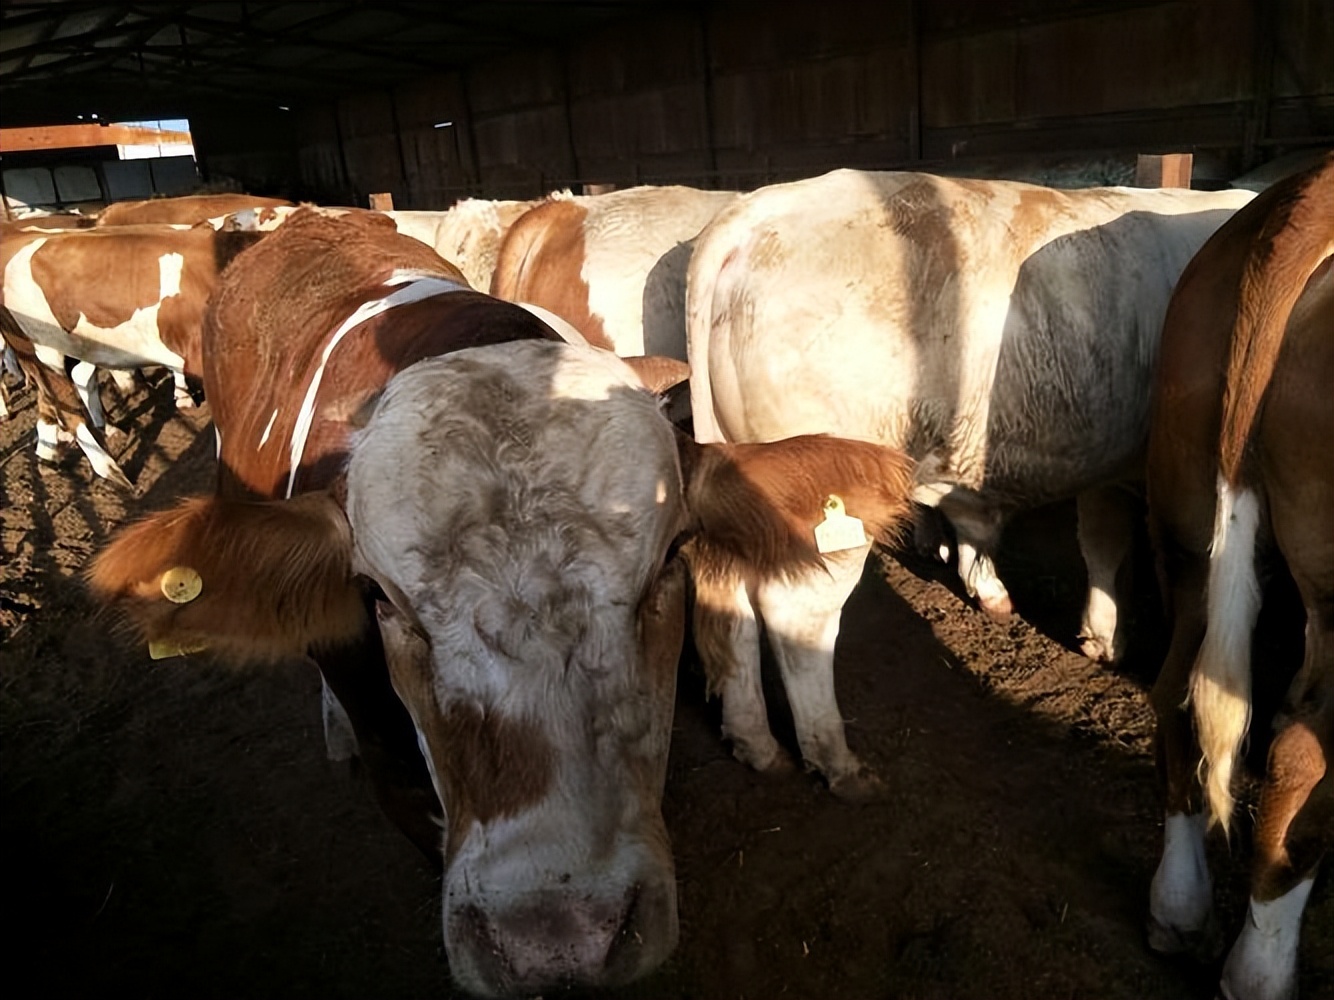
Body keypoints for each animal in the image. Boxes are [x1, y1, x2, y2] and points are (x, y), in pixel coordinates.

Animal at [684, 168, 1252, 796]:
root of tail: (756, 212)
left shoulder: (1107, 458)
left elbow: (1103, 543)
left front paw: (1102, 636)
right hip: (827, 506)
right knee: (796, 615)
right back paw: (837, 762)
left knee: (725, 594)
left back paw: (754, 743)